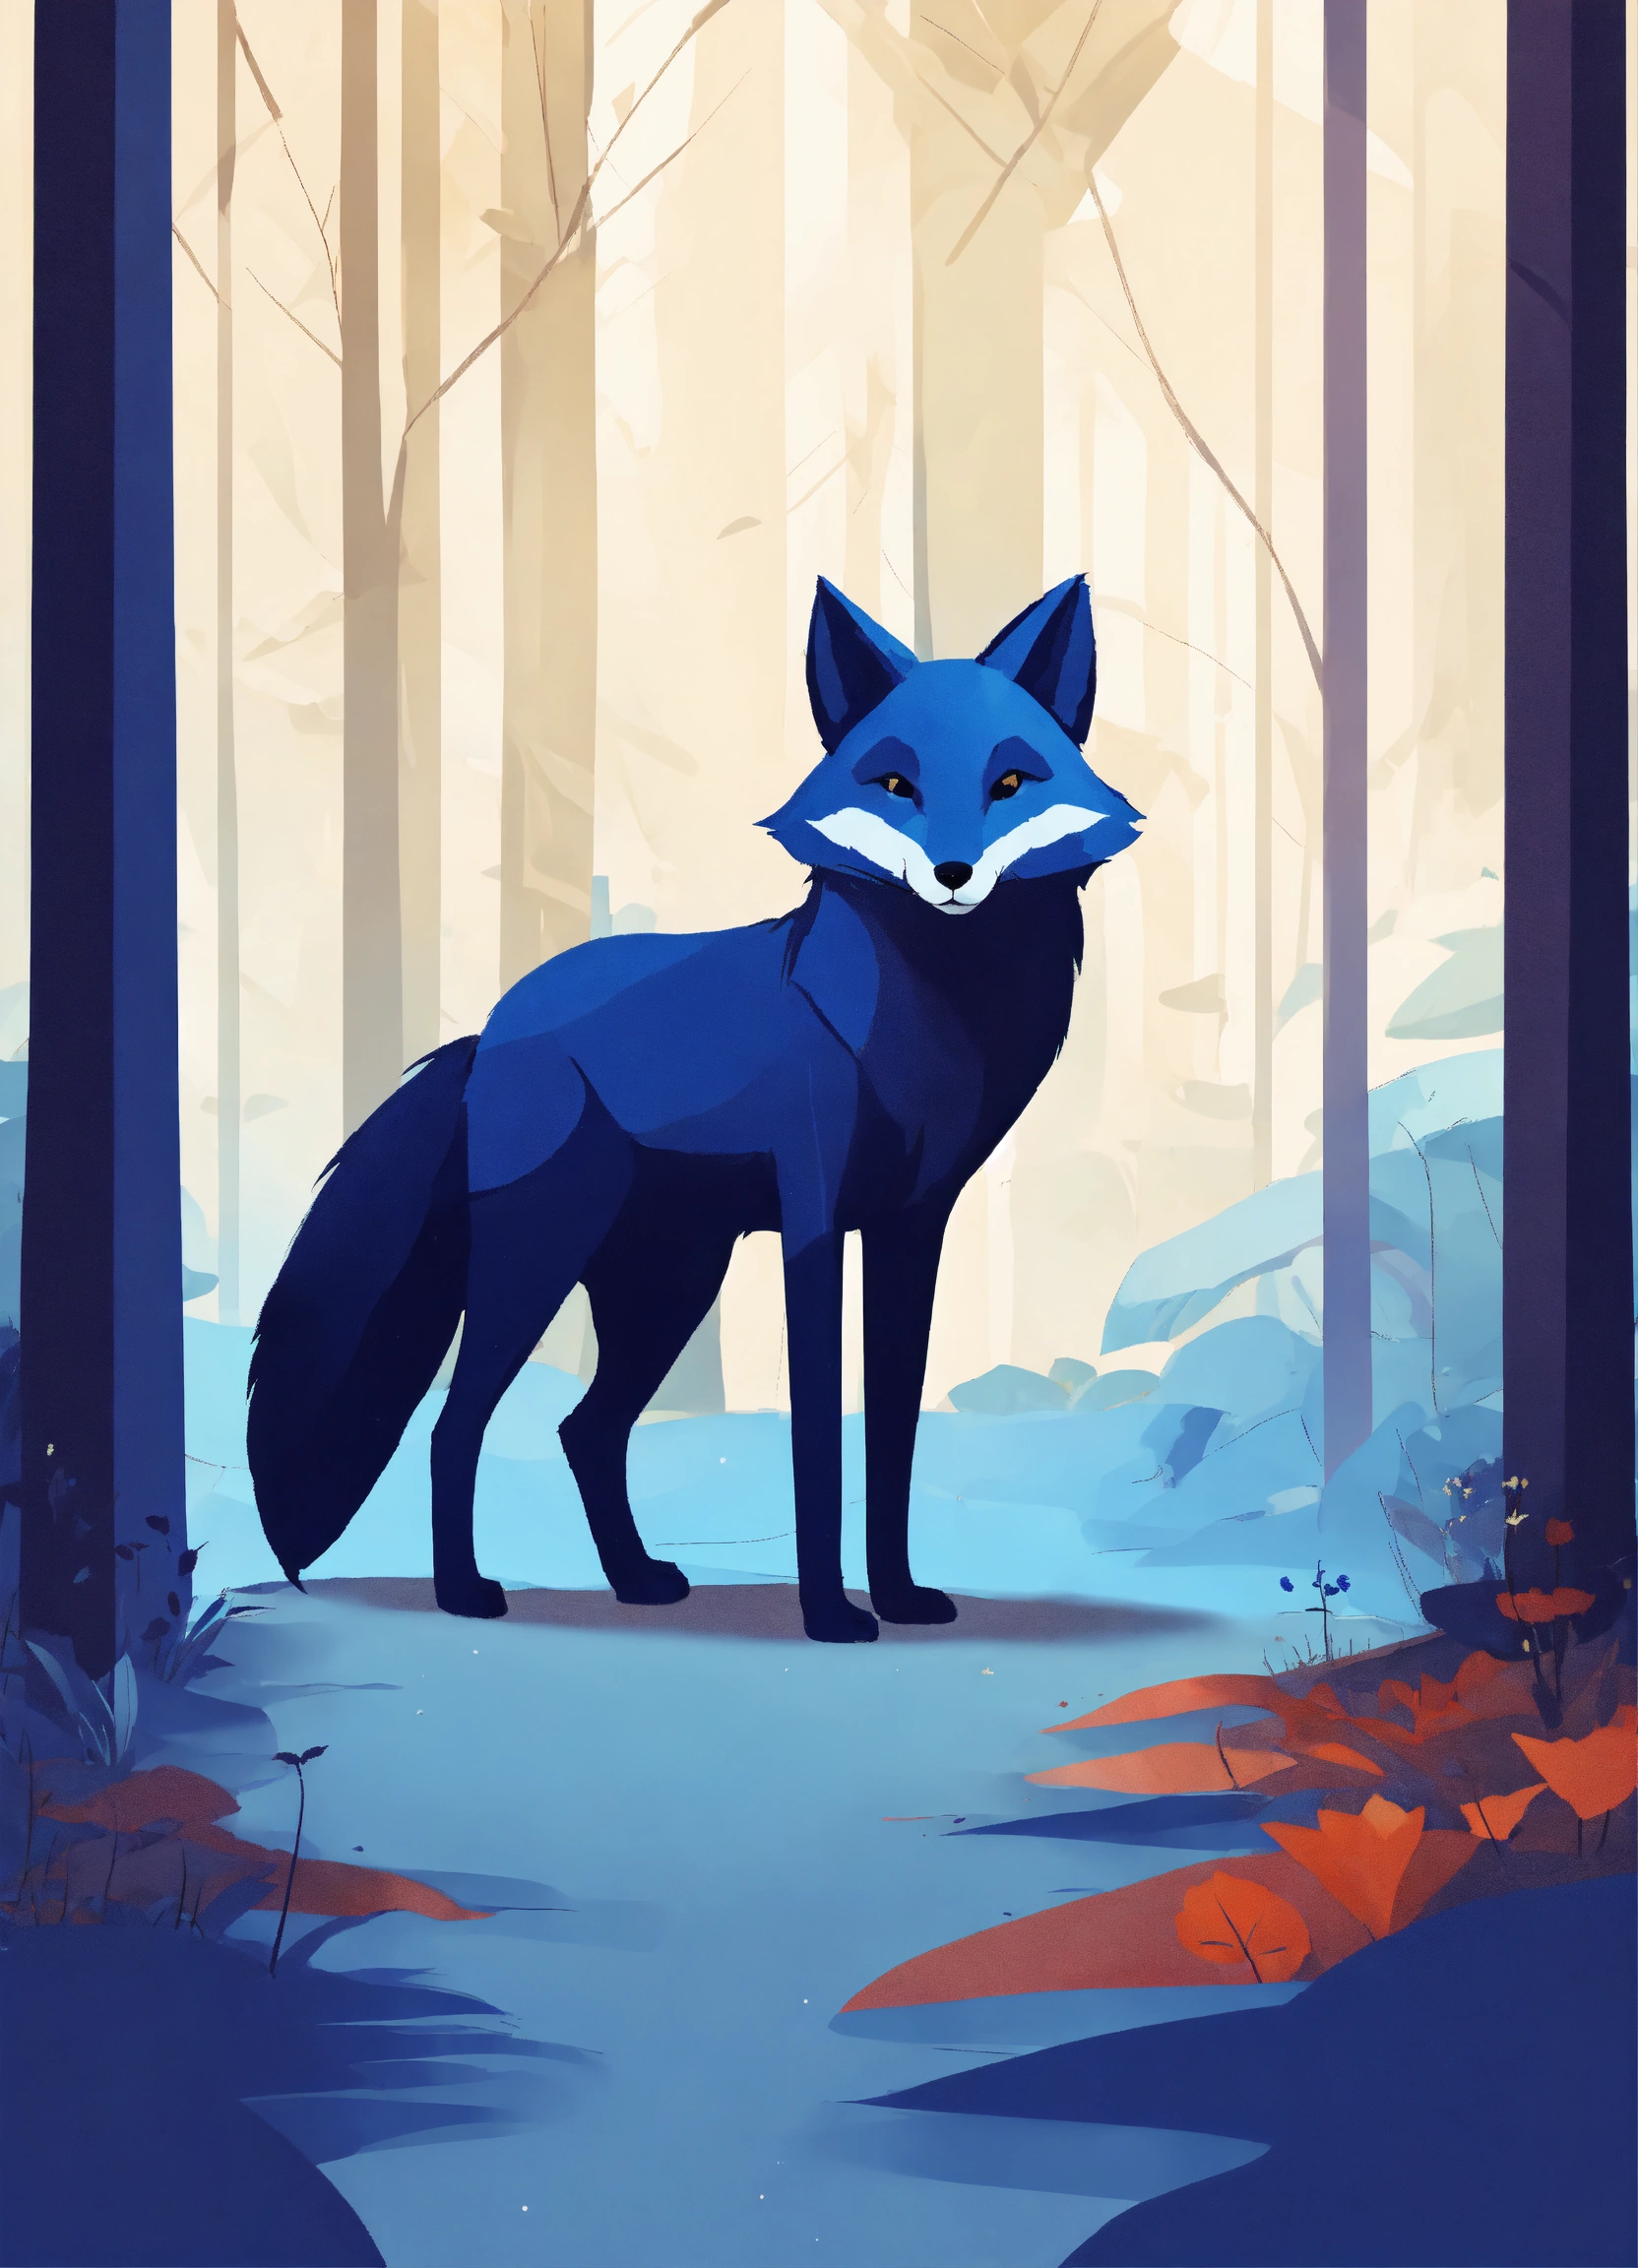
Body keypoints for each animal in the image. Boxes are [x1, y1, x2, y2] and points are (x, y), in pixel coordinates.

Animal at [247, 574, 1141, 1642]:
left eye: (1009, 783)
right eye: (895, 786)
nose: (954, 875)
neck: (928, 1026)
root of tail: (490, 1030)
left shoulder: (909, 1232)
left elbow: (889, 1439)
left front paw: (898, 1598)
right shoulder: (814, 1223)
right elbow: (817, 1444)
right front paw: (831, 1615)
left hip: (667, 1291)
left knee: (584, 1430)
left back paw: (635, 1579)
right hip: (538, 1263)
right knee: (456, 1426)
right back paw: (467, 1593)